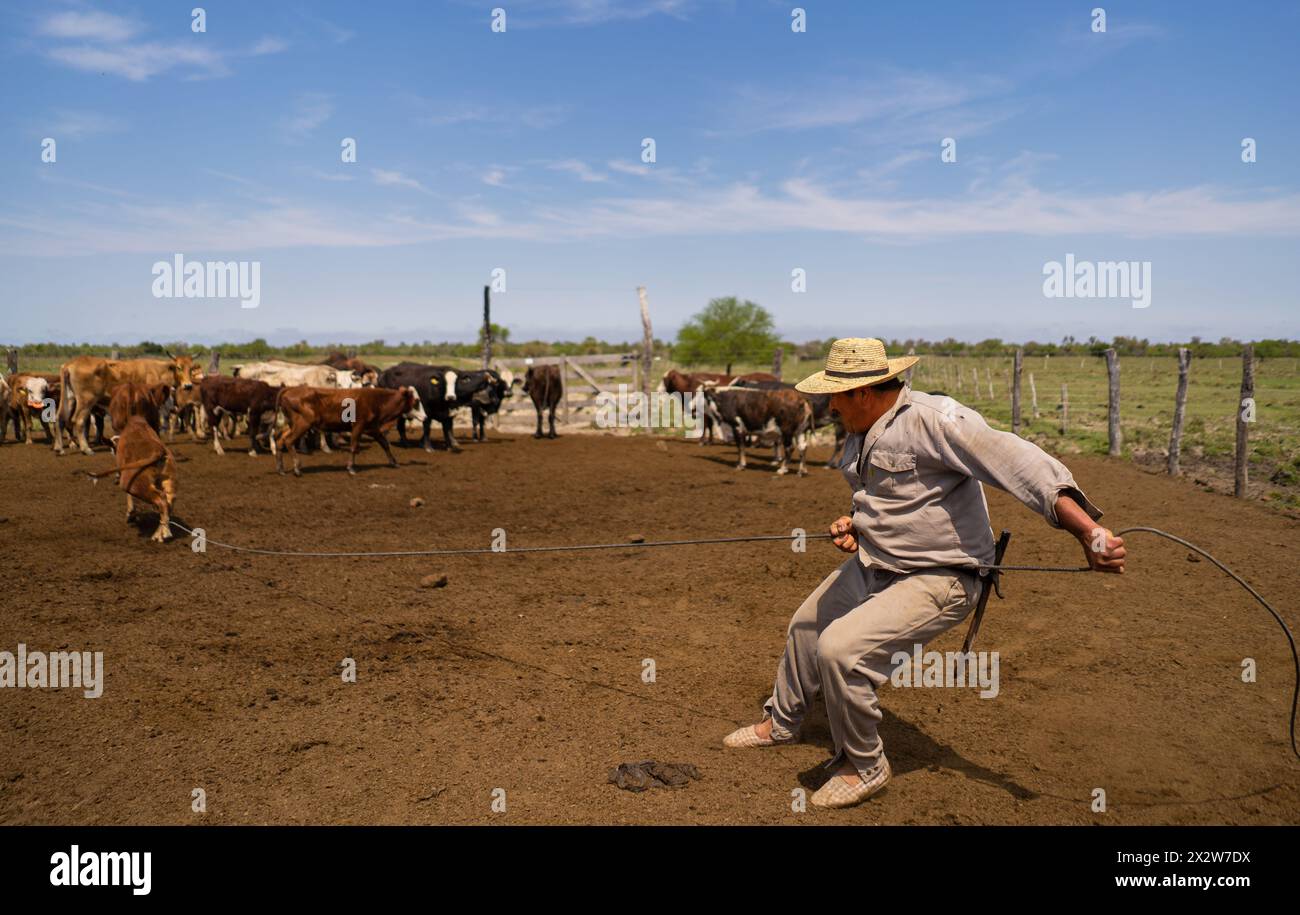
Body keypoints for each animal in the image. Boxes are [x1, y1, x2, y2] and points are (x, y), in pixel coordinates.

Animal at [58, 354, 202, 455]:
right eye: (179, 367)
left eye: (191, 369)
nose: (188, 386)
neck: (158, 371)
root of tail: (70, 364)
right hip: (86, 401)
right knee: (78, 421)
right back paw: (86, 449)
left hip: (70, 399)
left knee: (61, 419)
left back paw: (60, 448)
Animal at [272, 385, 424, 476]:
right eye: (416, 401)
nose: (425, 416)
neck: (375, 401)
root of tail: (289, 389)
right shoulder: (358, 426)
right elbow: (353, 446)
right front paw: (351, 468)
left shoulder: (372, 428)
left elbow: (385, 444)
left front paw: (394, 463)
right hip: (303, 423)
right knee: (288, 441)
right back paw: (297, 468)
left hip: (292, 424)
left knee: (280, 440)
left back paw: (280, 469)